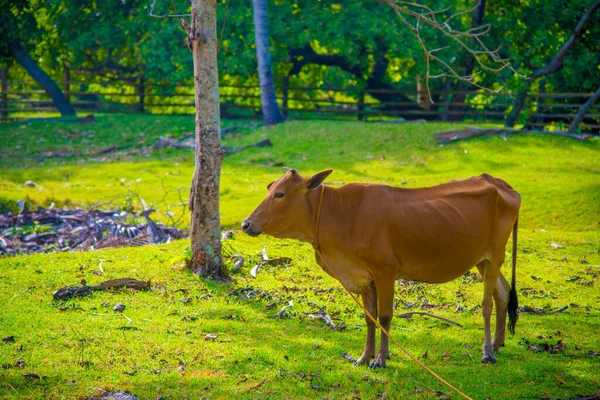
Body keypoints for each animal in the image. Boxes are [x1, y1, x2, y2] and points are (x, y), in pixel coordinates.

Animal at [243, 170, 520, 368]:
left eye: (279, 194)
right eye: (270, 189)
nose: (246, 224)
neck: (339, 214)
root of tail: (499, 183)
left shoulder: (385, 271)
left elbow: (385, 315)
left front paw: (380, 358)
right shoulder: (365, 277)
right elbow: (370, 317)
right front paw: (365, 357)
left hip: (494, 256)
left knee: (487, 303)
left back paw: (487, 352)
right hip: (483, 260)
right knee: (502, 292)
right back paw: (498, 343)